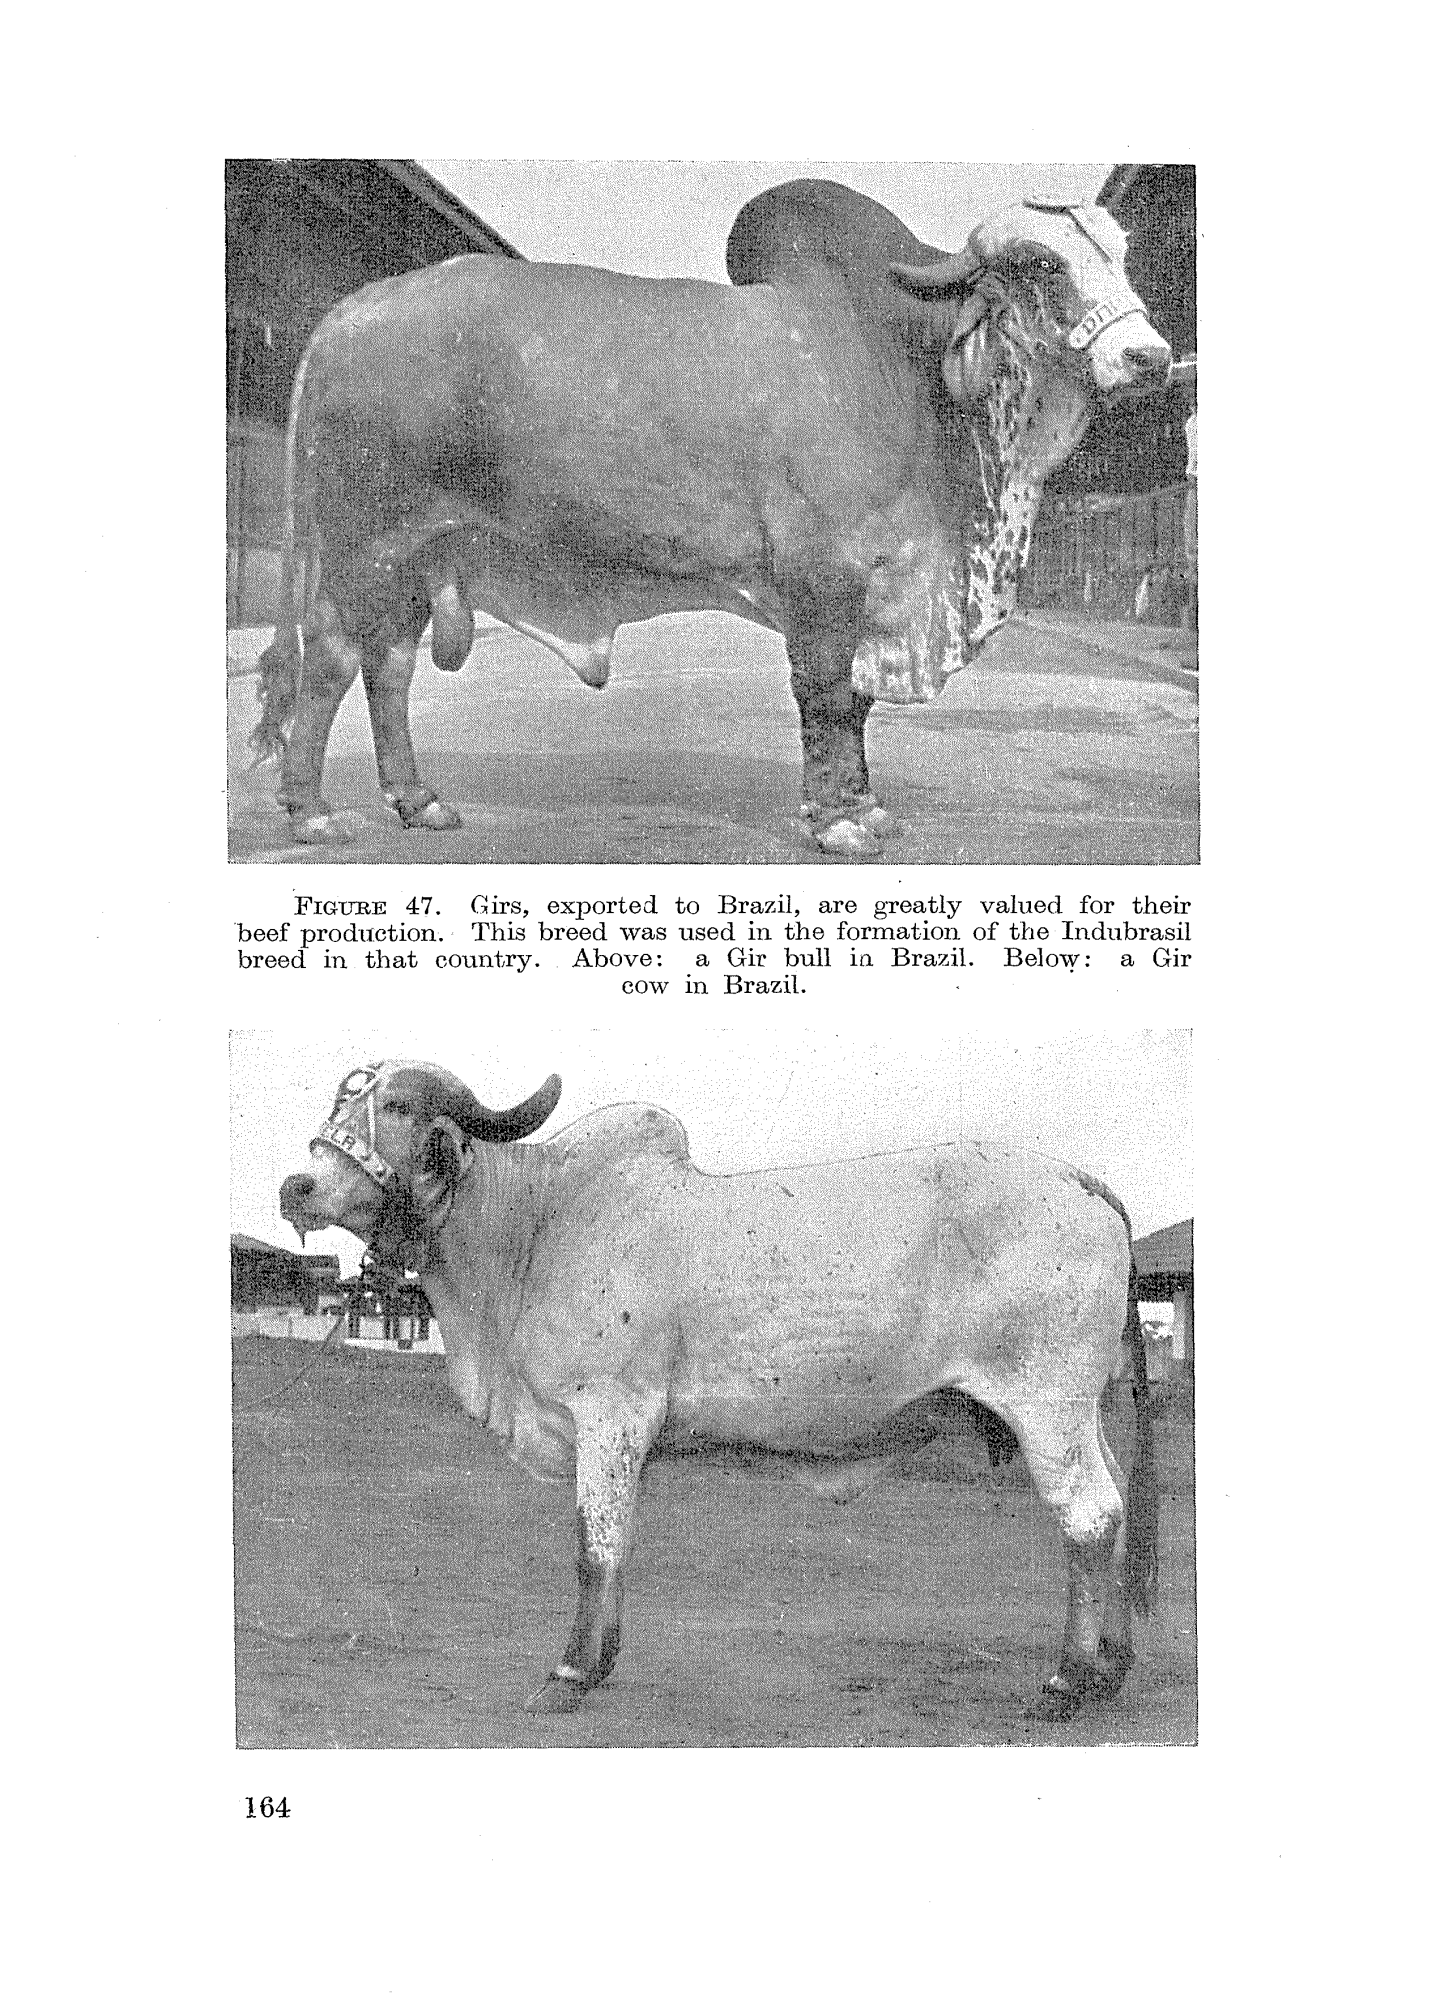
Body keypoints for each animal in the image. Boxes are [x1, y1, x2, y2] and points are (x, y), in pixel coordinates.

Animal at [251, 178, 1172, 855]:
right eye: (1043, 265)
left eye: (1121, 256)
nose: (1150, 356)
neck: (901, 366)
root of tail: (345, 315)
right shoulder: (825, 580)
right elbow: (827, 695)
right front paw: (838, 821)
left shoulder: (875, 585)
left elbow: (855, 703)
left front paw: (863, 805)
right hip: (365, 546)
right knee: (331, 661)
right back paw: (312, 812)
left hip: (422, 558)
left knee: (391, 668)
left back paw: (417, 800)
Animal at [278, 1060, 1161, 1722]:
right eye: (340, 1101)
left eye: (394, 1105)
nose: (297, 1188)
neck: (536, 1223)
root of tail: (1081, 1179)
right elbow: (619, 1543)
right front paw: (602, 1663)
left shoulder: (610, 1416)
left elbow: (595, 1548)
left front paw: (570, 1674)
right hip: (1080, 1413)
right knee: (1117, 1509)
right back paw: (1112, 1670)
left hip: (1046, 1408)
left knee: (1090, 1519)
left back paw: (1065, 1683)